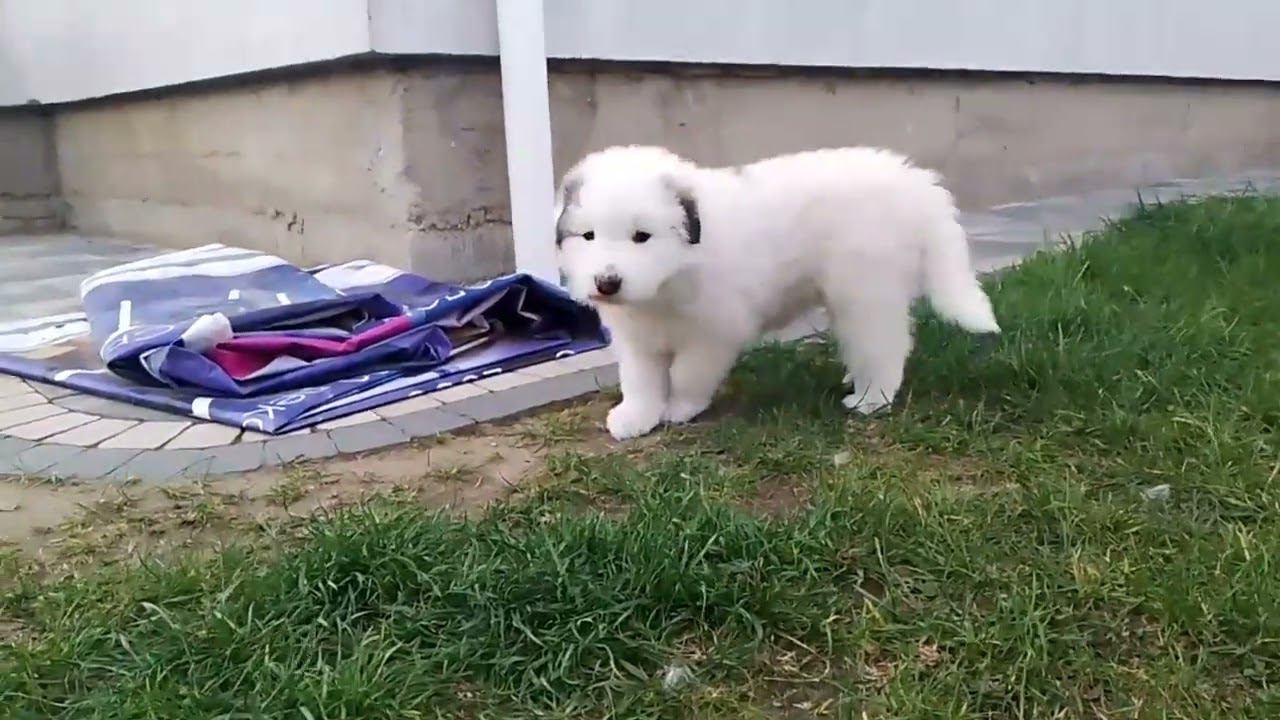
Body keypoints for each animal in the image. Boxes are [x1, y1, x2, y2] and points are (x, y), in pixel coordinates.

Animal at [553, 145, 1000, 441]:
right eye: (589, 236)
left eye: (641, 236)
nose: (606, 283)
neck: (669, 280)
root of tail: (912, 181)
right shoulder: (637, 338)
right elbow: (641, 379)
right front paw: (635, 417)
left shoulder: (714, 331)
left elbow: (688, 374)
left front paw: (679, 408)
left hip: (866, 291)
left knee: (884, 347)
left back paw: (870, 400)